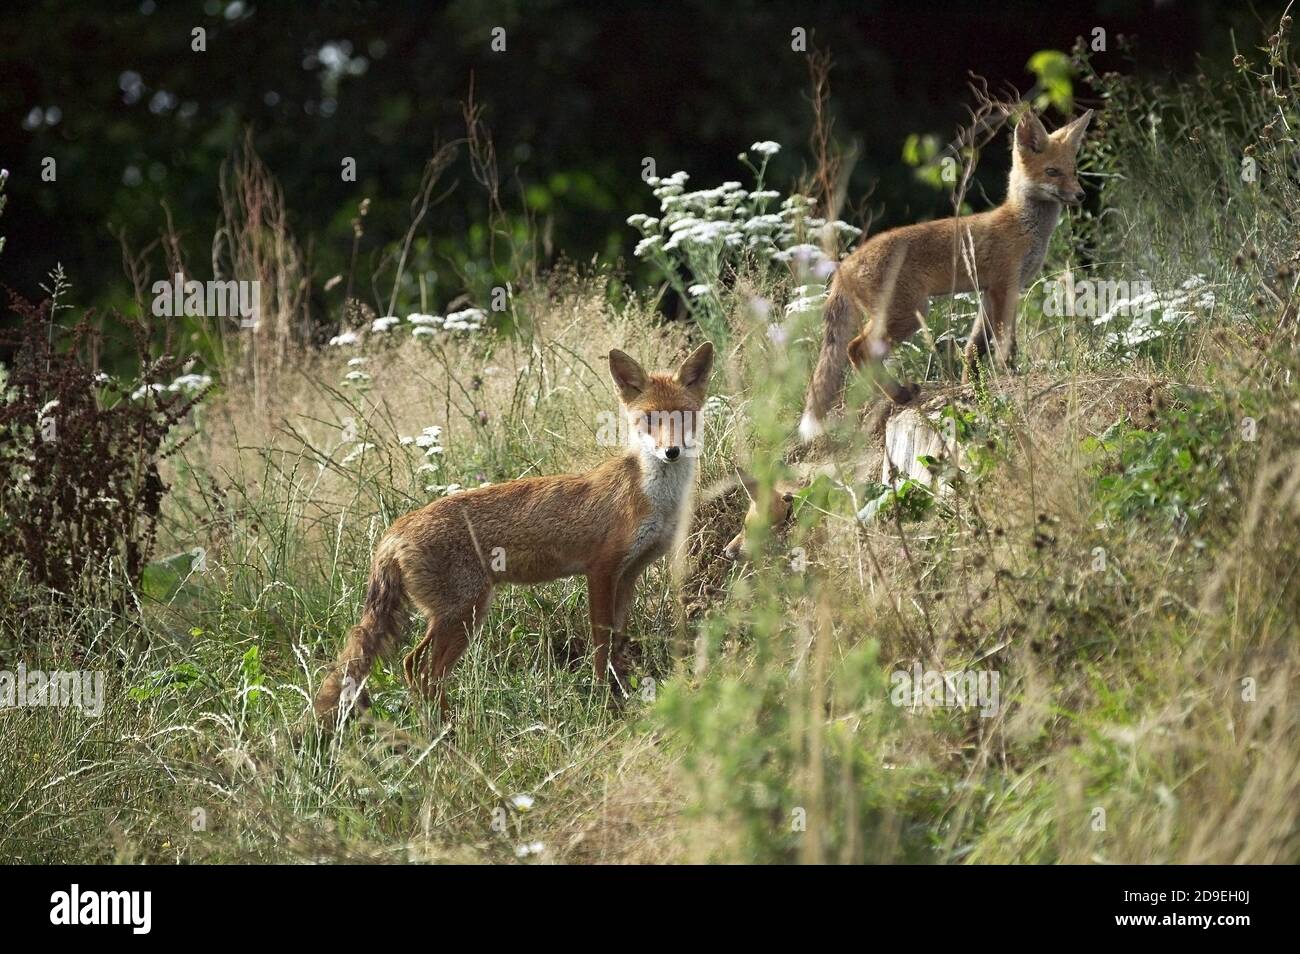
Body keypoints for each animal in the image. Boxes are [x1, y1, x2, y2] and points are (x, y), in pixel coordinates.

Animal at [313, 342, 715, 725]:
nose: (671, 452)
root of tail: (395, 529)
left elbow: (617, 640)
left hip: (454, 616)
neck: (652, 497)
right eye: (649, 420)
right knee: (422, 669)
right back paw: (452, 731)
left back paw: (442, 728)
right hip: (465, 612)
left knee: (416, 668)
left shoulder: (629, 573)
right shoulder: (600, 571)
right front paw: (603, 700)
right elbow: (601, 643)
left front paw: (621, 691)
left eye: (683, 416)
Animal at [799, 107, 1094, 441]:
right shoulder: (1005, 286)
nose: (1081, 195)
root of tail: (844, 266)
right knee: (857, 350)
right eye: (1052, 172)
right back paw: (899, 394)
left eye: (1074, 171)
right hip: (911, 313)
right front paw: (1010, 372)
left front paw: (971, 384)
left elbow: (974, 347)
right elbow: (1007, 341)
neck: (1024, 225)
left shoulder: (990, 292)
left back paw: (897, 393)